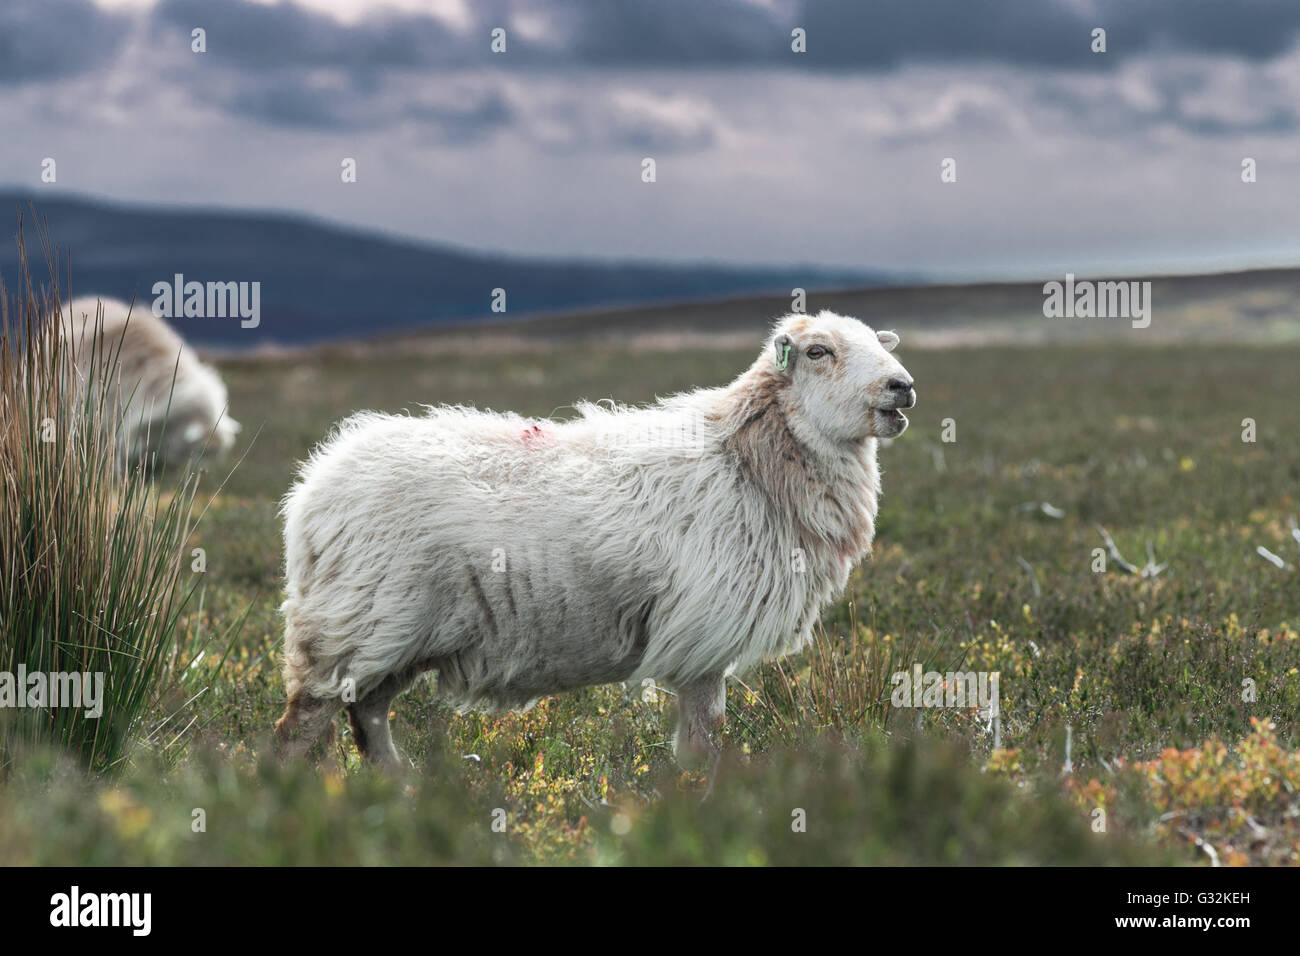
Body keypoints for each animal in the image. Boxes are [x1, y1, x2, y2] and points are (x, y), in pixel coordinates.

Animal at [275, 310, 916, 768]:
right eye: (818, 352)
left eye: (882, 344)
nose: (902, 386)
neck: (748, 460)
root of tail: (313, 489)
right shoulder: (703, 636)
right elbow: (706, 739)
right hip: (353, 622)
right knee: (302, 724)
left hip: (387, 634)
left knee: (367, 716)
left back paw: (394, 787)